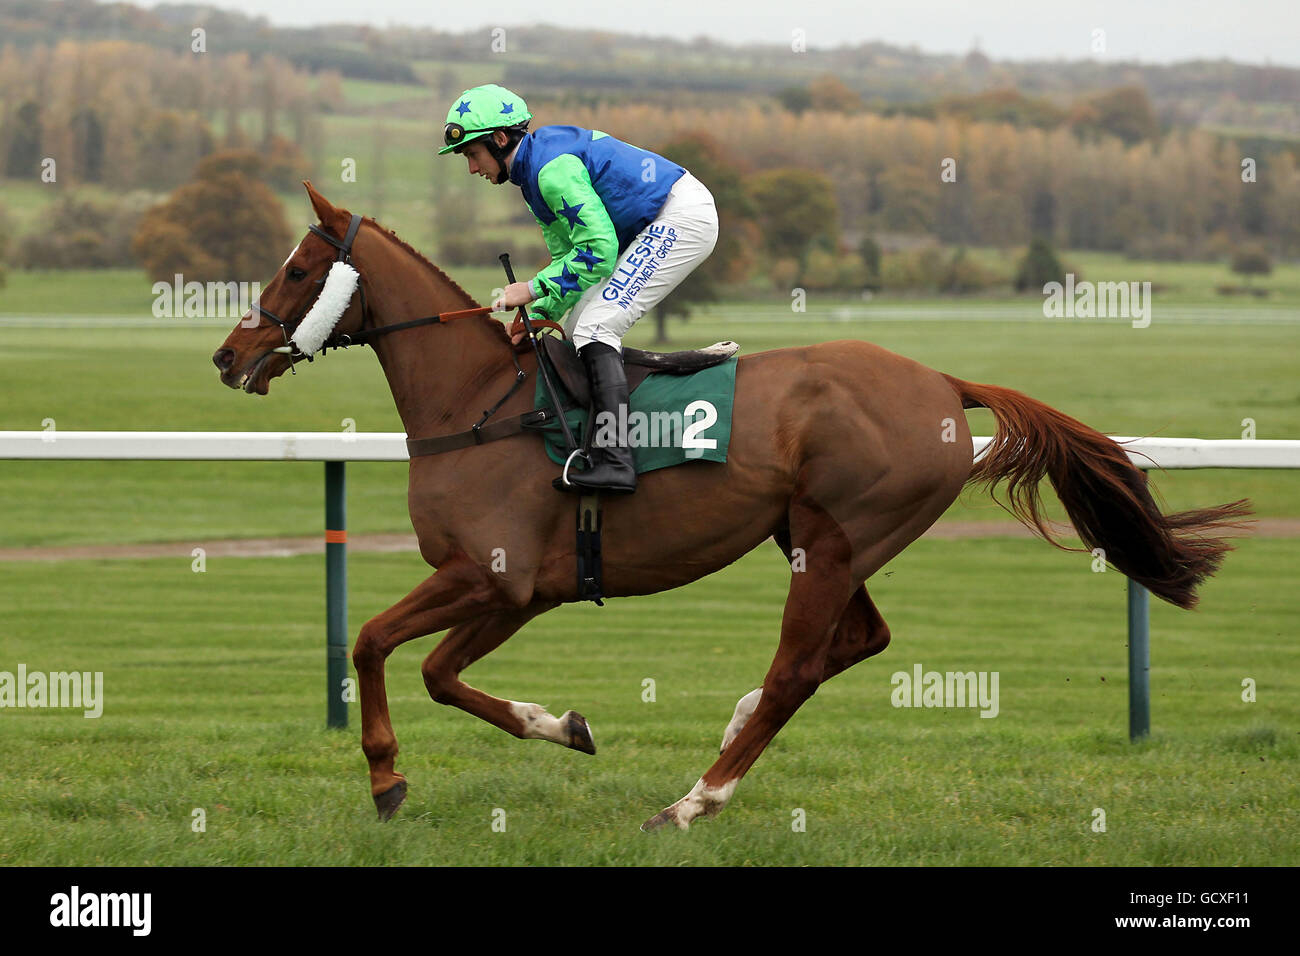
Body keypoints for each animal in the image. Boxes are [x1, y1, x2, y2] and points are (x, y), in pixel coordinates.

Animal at [213, 182, 1252, 830]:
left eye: (298, 271)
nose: (228, 355)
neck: (478, 403)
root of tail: (942, 382)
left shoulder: (494, 579)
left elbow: (373, 644)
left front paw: (387, 779)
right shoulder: (524, 593)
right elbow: (435, 672)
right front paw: (563, 726)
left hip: (835, 539)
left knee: (800, 667)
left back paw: (693, 800)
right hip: (816, 536)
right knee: (855, 642)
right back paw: (731, 729)